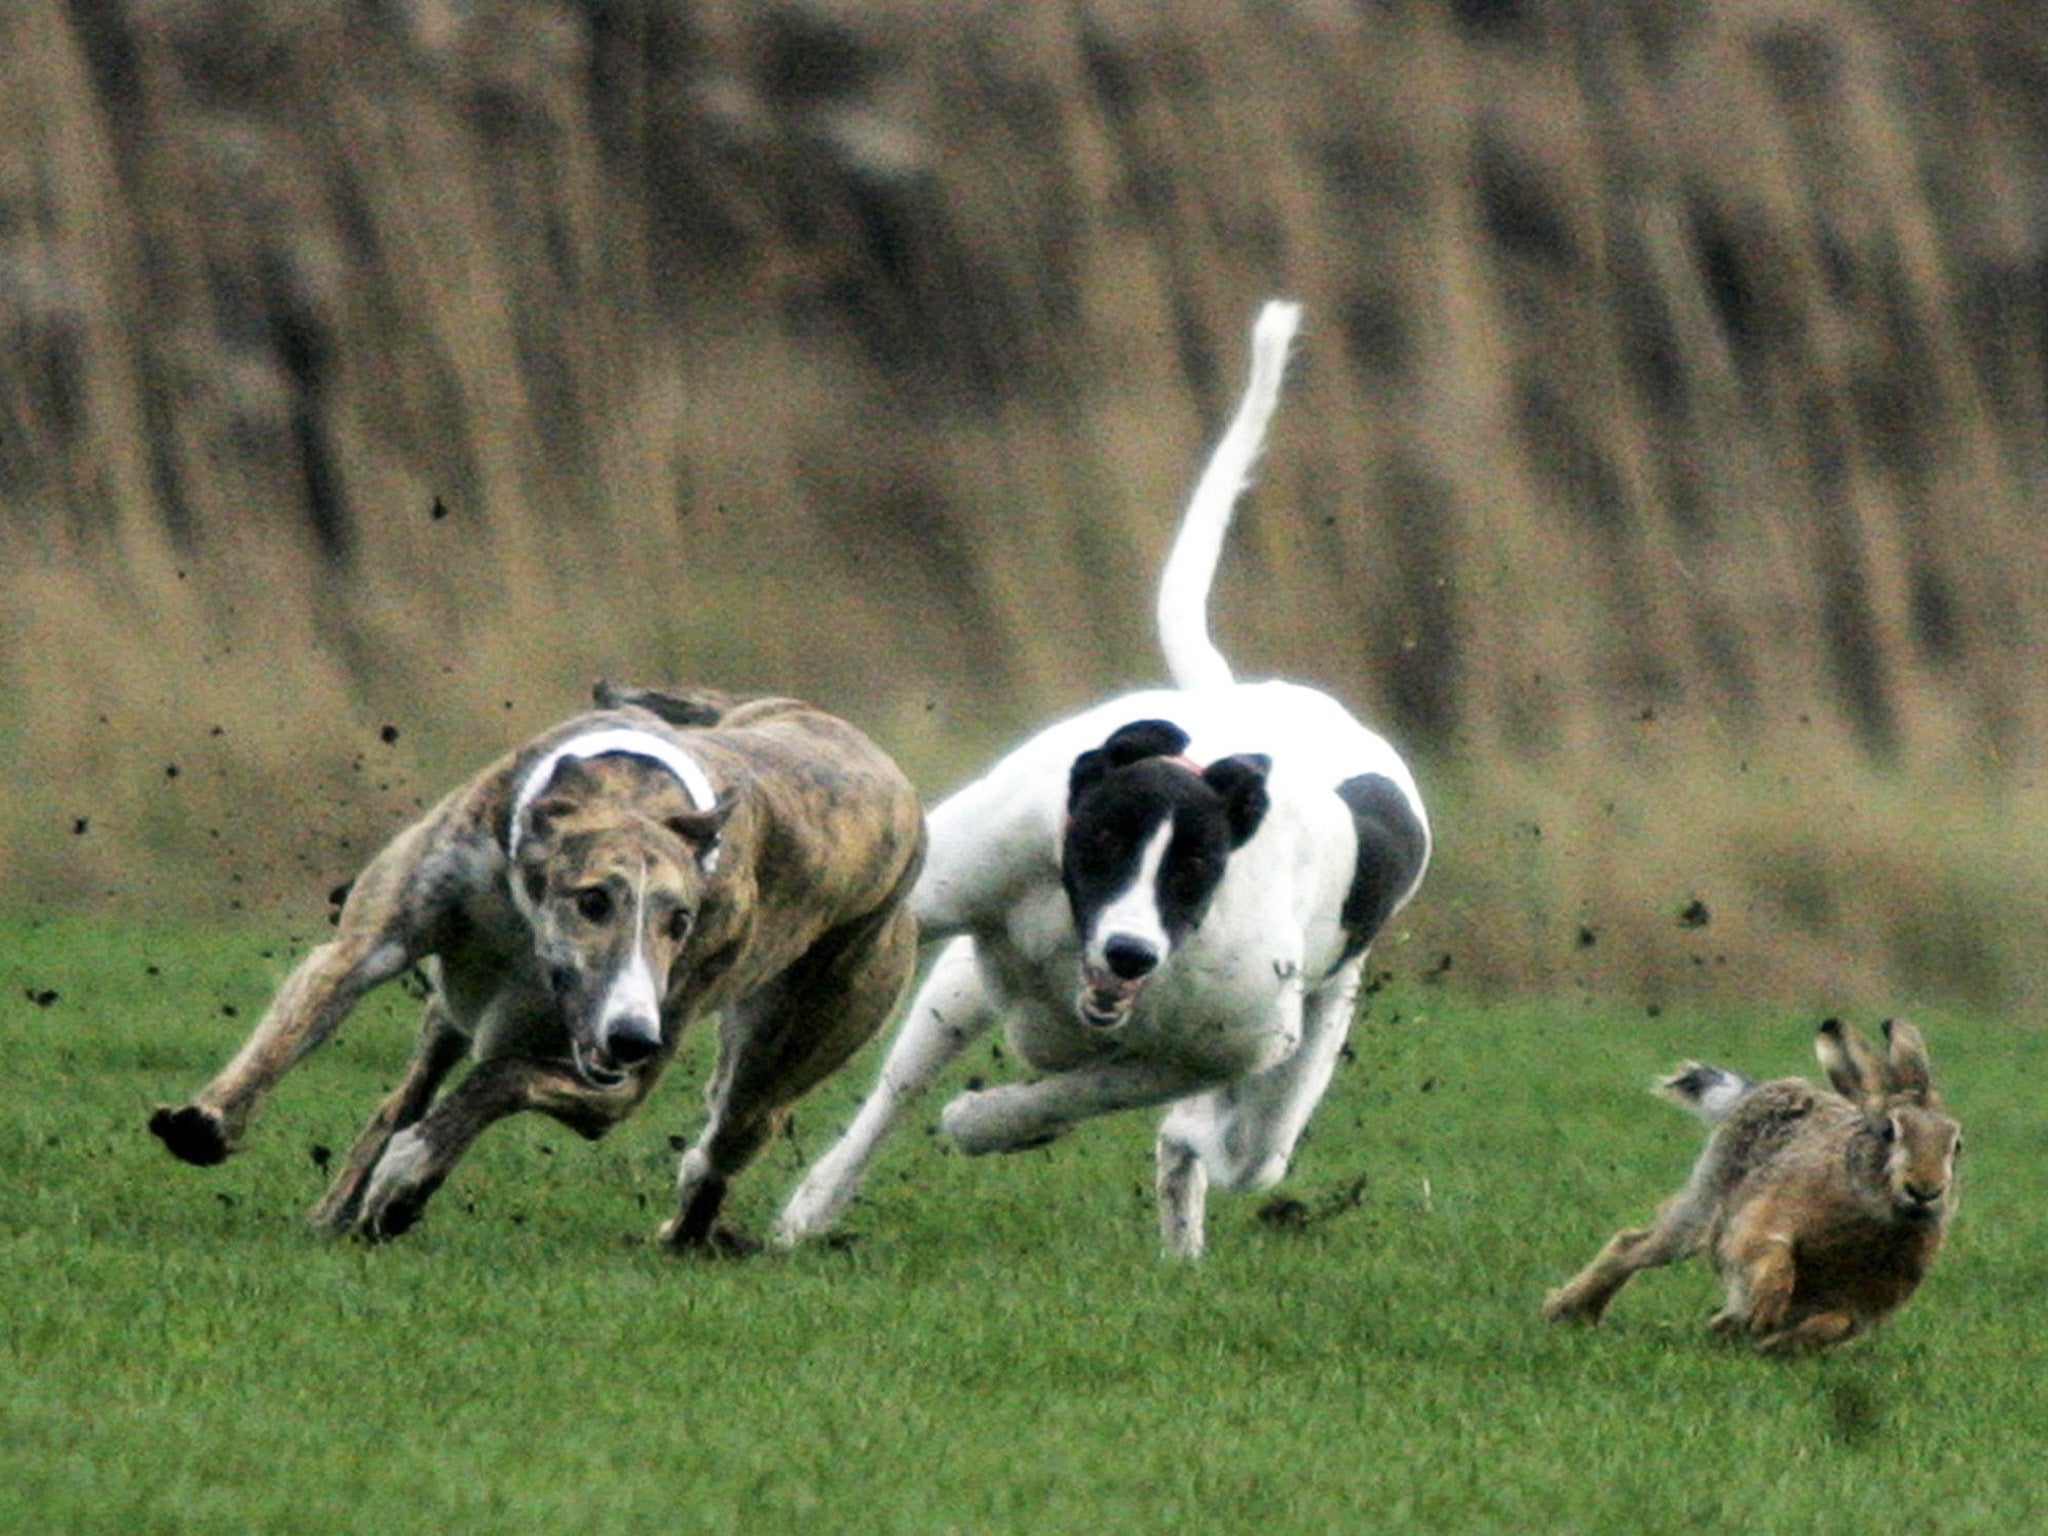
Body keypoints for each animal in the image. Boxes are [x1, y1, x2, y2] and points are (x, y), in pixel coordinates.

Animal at [1542, 1017, 1961, 1355]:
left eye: (1957, 1146)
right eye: (1890, 1131)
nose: (1925, 1190)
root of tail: (1757, 1093)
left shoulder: (1860, 1305)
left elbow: (1832, 1324)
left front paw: (1764, 1339)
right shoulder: (1760, 1222)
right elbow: (1772, 1257)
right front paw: (1760, 1316)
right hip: (1705, 1205)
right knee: (1634, 1246)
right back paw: (1568, 1312)